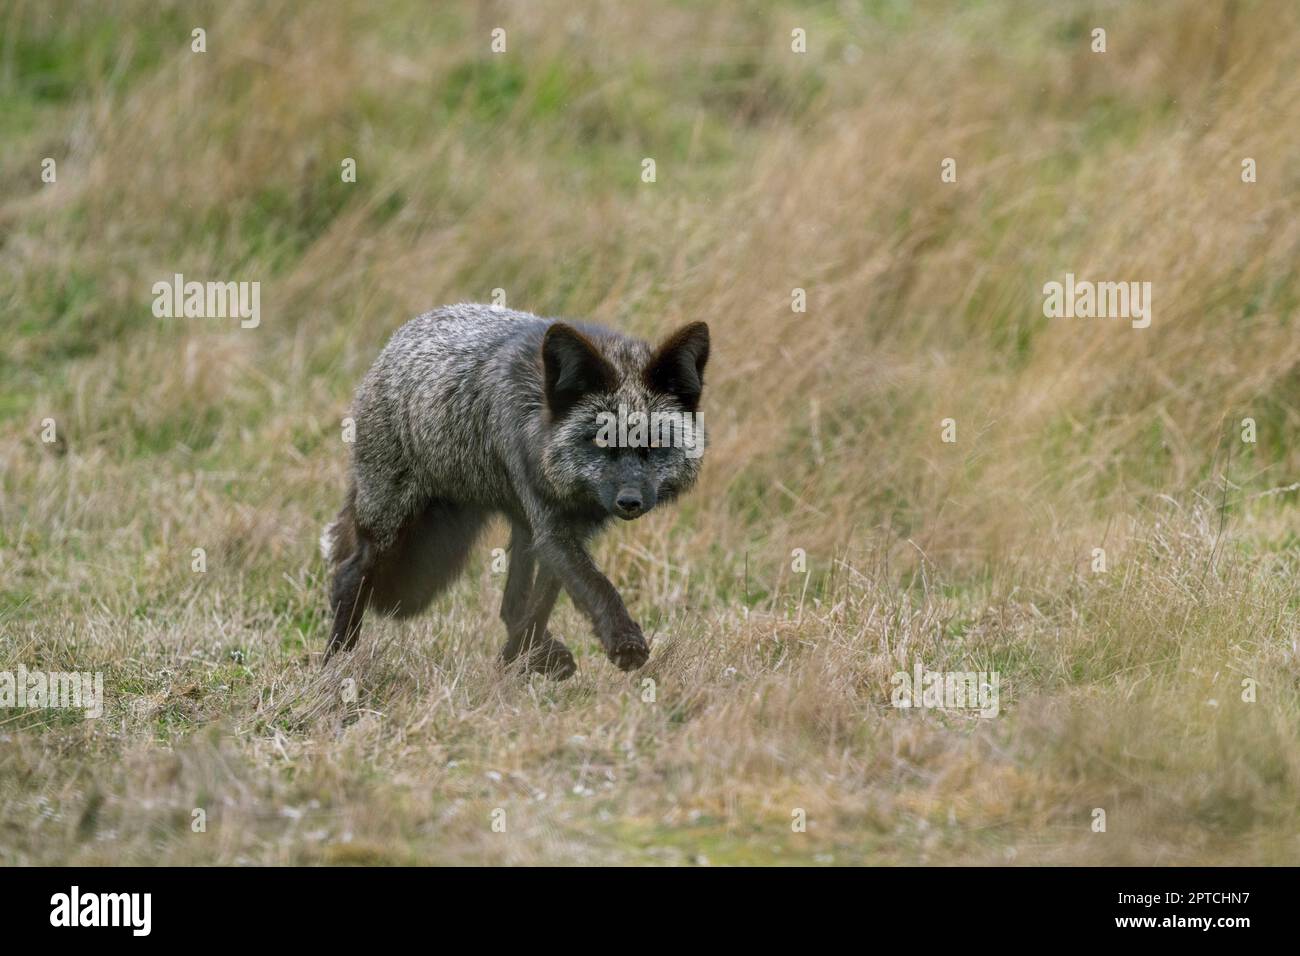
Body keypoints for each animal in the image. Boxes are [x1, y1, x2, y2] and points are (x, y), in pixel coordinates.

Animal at [320, 303, 710, 678]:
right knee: (347, 576)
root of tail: (396, 340)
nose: (629, 501)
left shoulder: (565, 530)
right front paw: (623, 641)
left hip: (518, 527)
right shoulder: (551, 527)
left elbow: (540, 604)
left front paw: (518, 657)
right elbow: (597, 586)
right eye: (601, 441)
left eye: (654, 445)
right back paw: (335, 665)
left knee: (511, 604)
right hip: (390, 522)